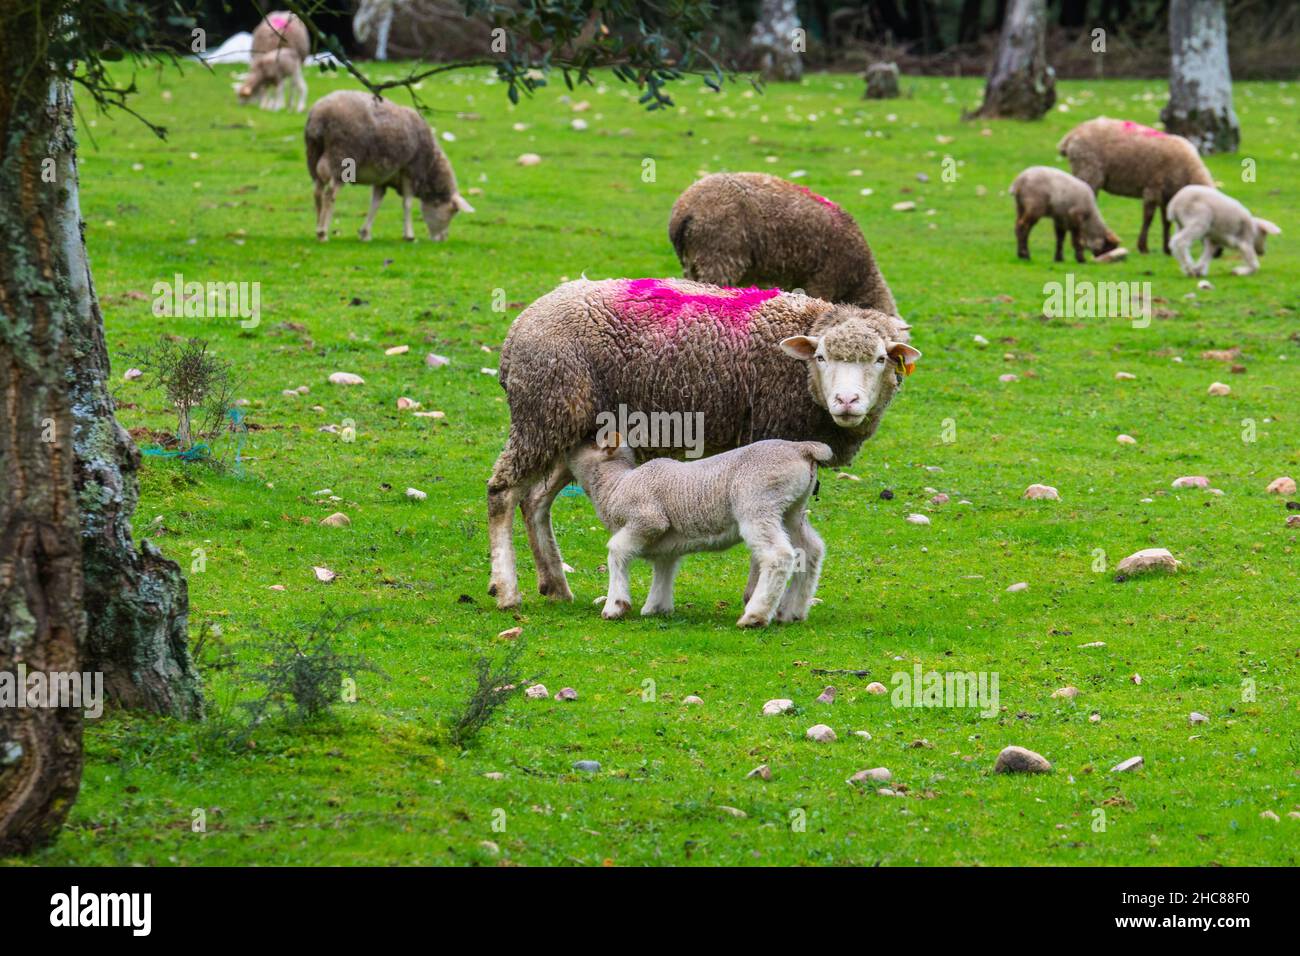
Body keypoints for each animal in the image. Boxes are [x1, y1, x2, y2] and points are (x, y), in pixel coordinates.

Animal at [304, 90, 475, 242]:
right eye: (452, 213)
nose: (442, 239)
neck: (430, 169)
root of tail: (320, 114)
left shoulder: (382, 179)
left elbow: (375, 203)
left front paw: (365, 233)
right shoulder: (410, 171)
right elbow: (407, 203)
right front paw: (409, 235)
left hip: (314, 154)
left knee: (317, 191)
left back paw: (318, 225)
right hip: (341, 156)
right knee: (329, 194)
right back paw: (322, 232)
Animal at [568, 434, 829, 627]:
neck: (614, 486)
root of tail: (802, 449)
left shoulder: (647, 519)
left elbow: (617, 551)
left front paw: (615, 606)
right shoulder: (667, 543)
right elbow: (664, 568)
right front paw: (657, 607)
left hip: (758, 502)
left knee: (779, 555)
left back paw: (755, 616)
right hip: (791, 509)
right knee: (810, 550)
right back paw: (792, 611)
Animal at [1057, 117, 1213, 255]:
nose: (1216, 254)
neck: (1189, 171)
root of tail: (1070, 136)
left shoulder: (1167, 195)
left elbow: (1166, 222)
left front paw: (1167, 249)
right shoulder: (1153, 188)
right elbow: (1148, 218)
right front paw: (1143, 248)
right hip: (1088, 171)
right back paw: (1082, 243)